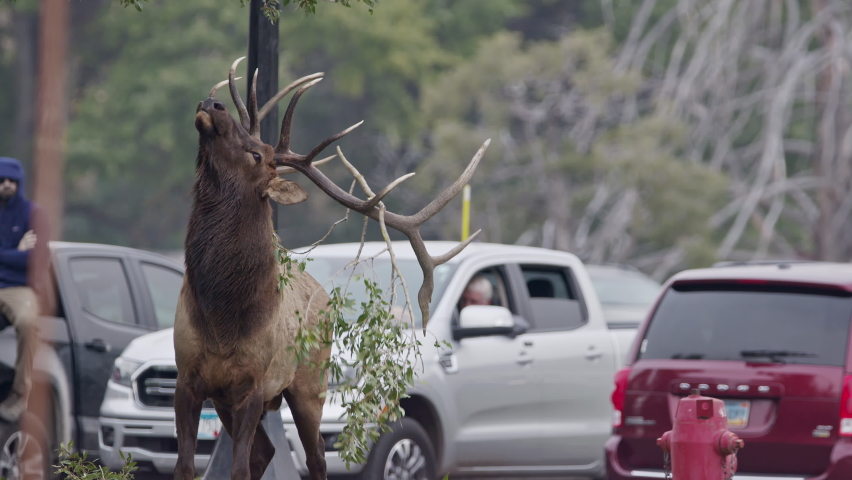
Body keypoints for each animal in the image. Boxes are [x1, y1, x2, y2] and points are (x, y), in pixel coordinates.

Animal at [173, 57, 489, 480]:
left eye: (257, 155)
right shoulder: (188, 378)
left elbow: (237, 469)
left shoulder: (252, 385)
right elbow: (186, 466)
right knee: (266, 452)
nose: (214, 103)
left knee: (315, 455)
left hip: (311, 385)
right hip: (231, 400)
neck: (223, 318)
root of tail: (324, 295)